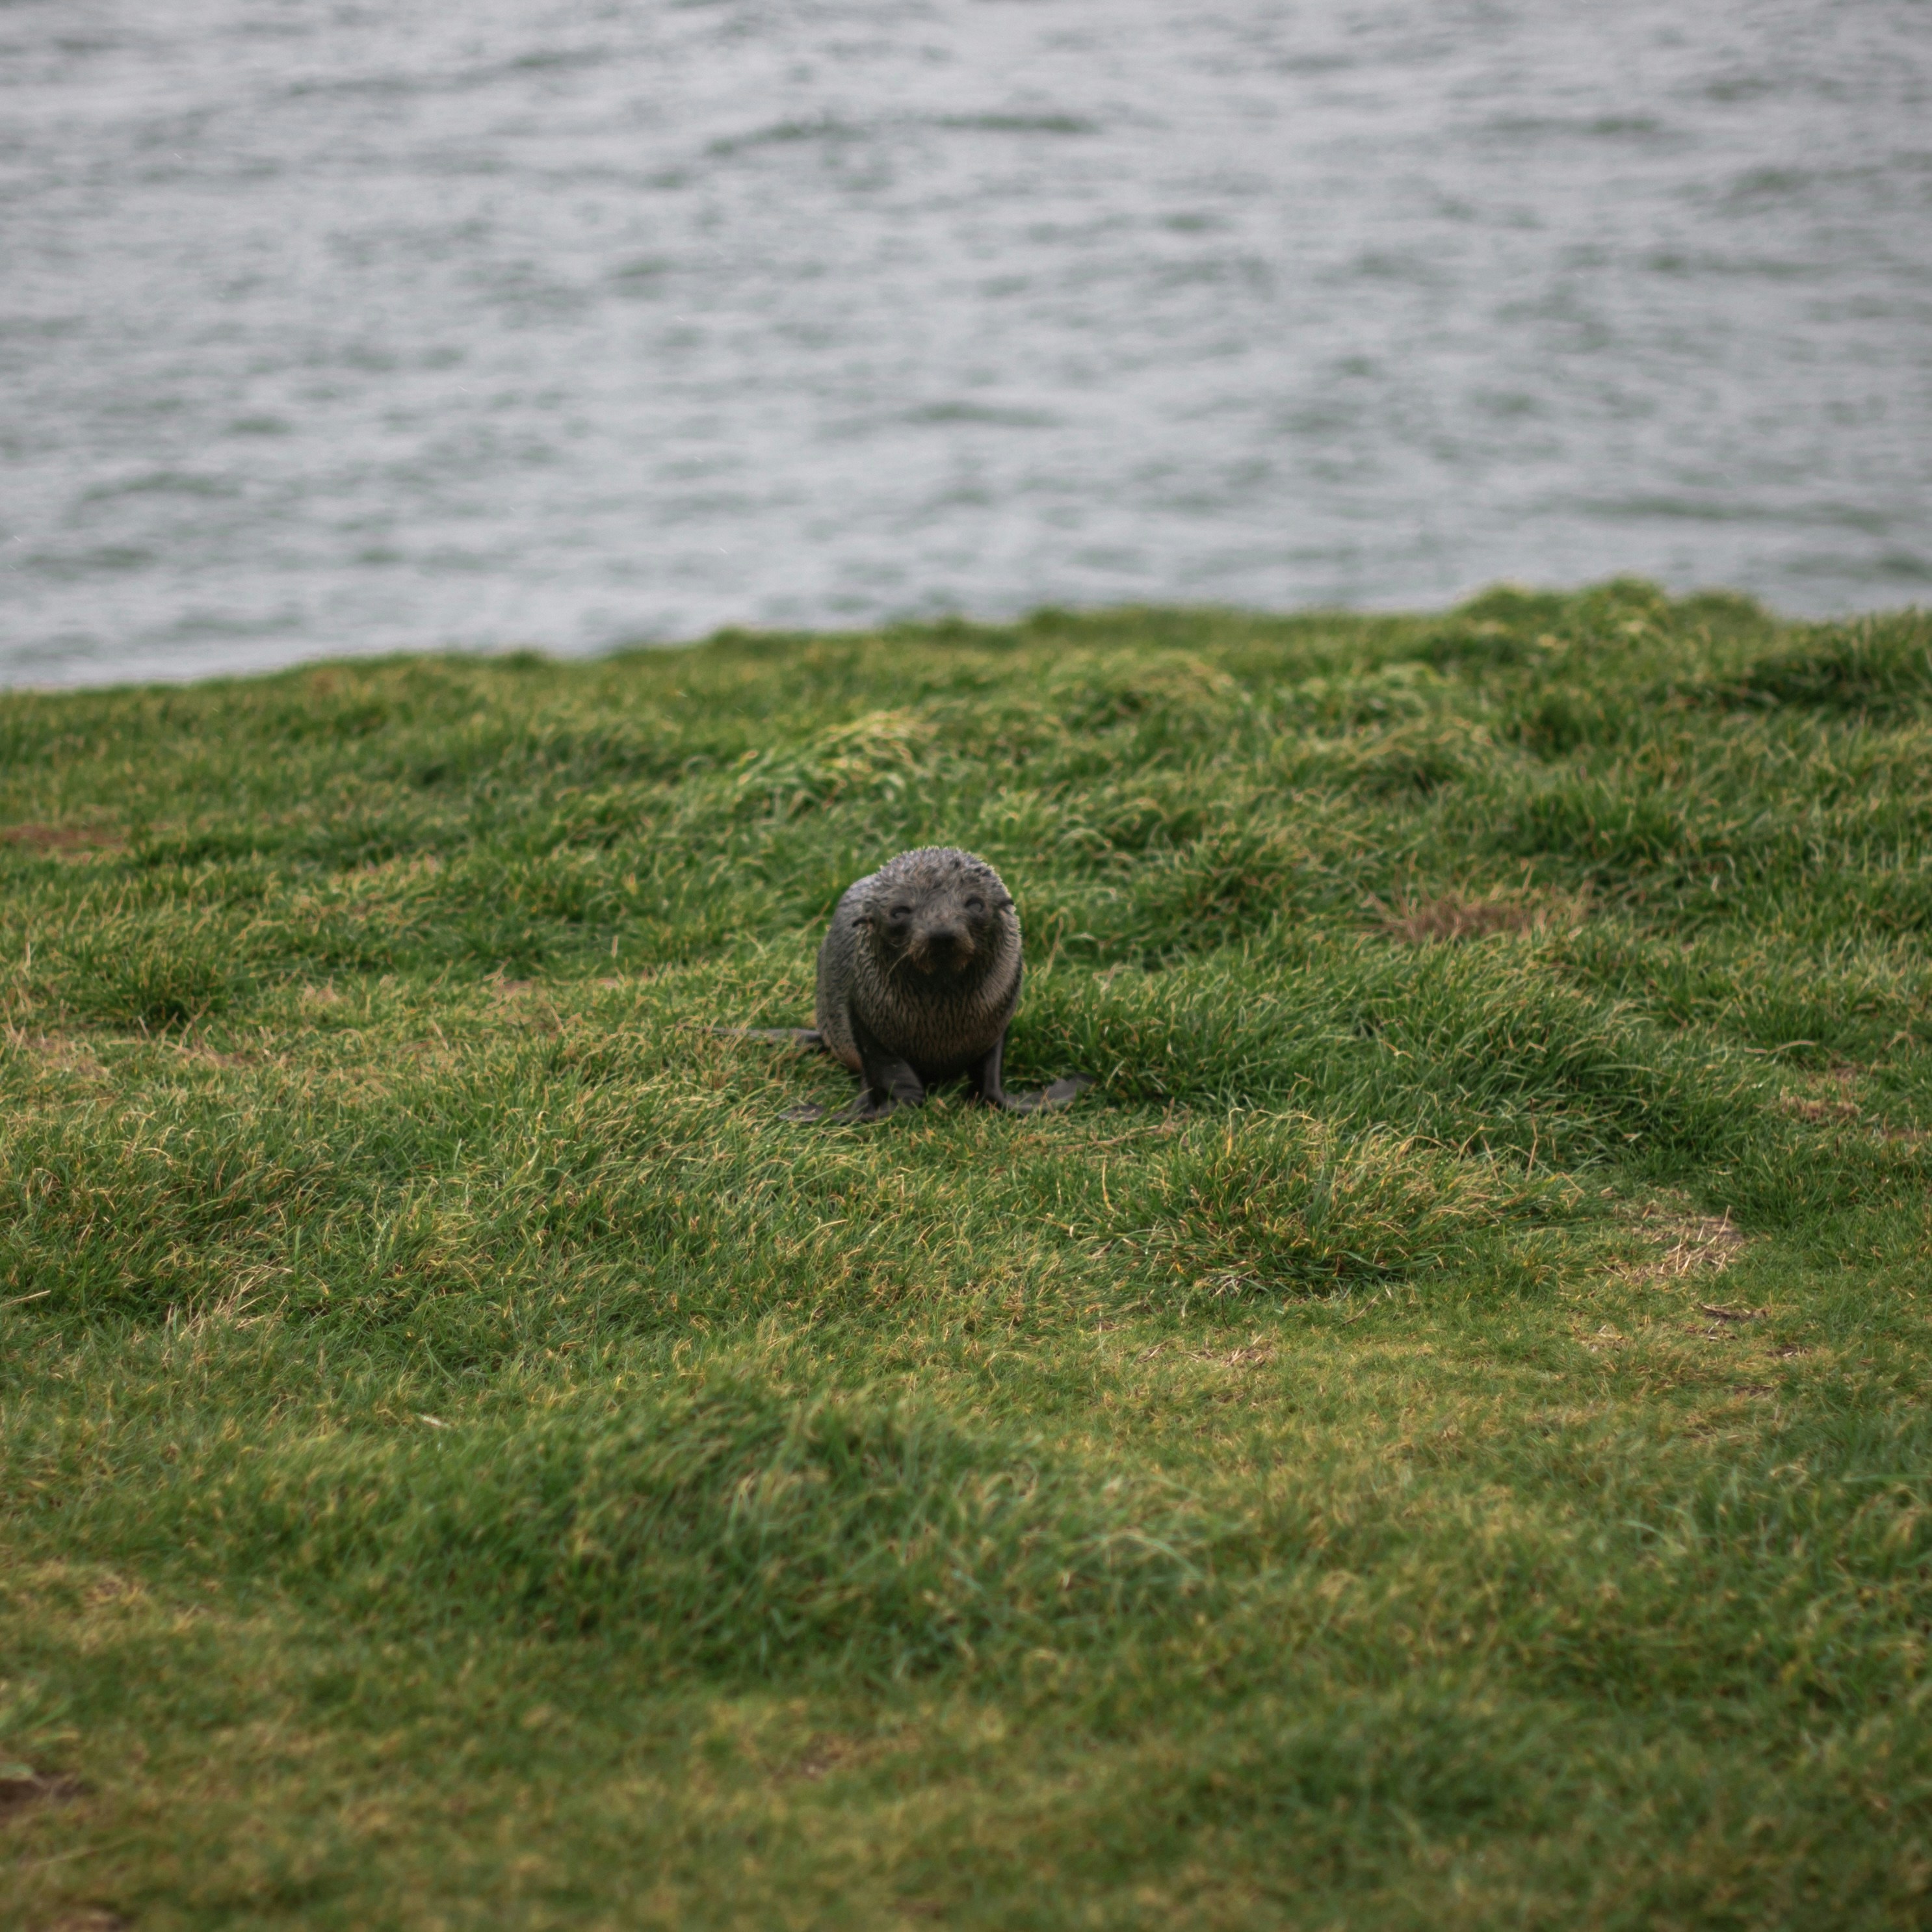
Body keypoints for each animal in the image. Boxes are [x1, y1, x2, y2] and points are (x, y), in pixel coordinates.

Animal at [724, 847, 1089, 1122]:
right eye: (899, 912)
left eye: (975, 904)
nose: (941, 932)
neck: (942, 1023)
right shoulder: (867, 1021)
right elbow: (896, 1081)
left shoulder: (997, 1020)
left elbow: (990, 1082)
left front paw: (1066, 1090)